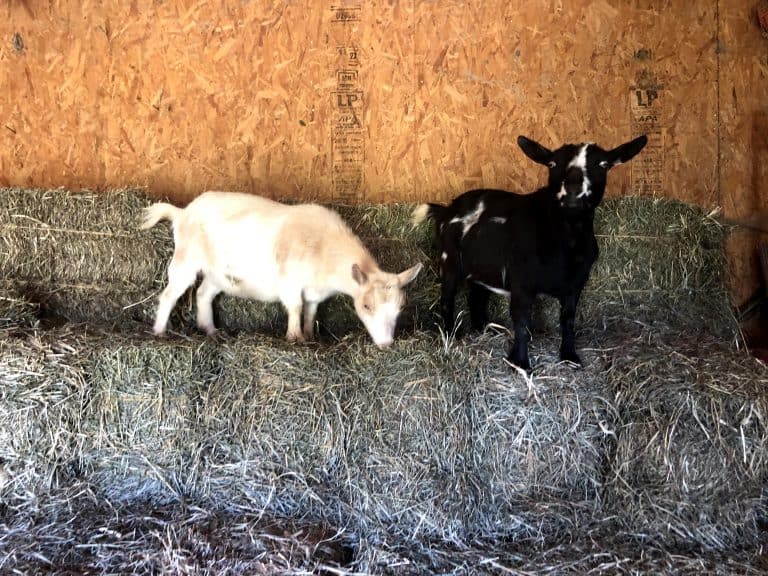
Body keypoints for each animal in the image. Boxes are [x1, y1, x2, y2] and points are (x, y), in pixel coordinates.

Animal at [141, 191, 423, 348]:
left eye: (401, 306)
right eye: (366, 306)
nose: (386, 344)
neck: (322, 248)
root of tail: (182, 212)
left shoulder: (314, 294)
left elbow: (310, 312)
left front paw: (309, 336)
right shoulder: (290, 283)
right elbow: (295, 308)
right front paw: (294, 338)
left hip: (218, 274)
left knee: (203, 294)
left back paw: (210, 330)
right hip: (186, 259)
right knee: (169, 294)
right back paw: (160, 332)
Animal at [413, 134, 648, 370]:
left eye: (603, 164)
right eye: (552, 164)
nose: (572, 192)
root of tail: (446, 209)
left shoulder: (576, 284)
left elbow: (568, 319)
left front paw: (569, 356)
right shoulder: (522, 283)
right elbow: (522, 322)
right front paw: (521, 363)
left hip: (482, 265)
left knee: (477, 295)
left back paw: (485, 328)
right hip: (449, 261)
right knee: (447, 298)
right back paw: (451, 335)